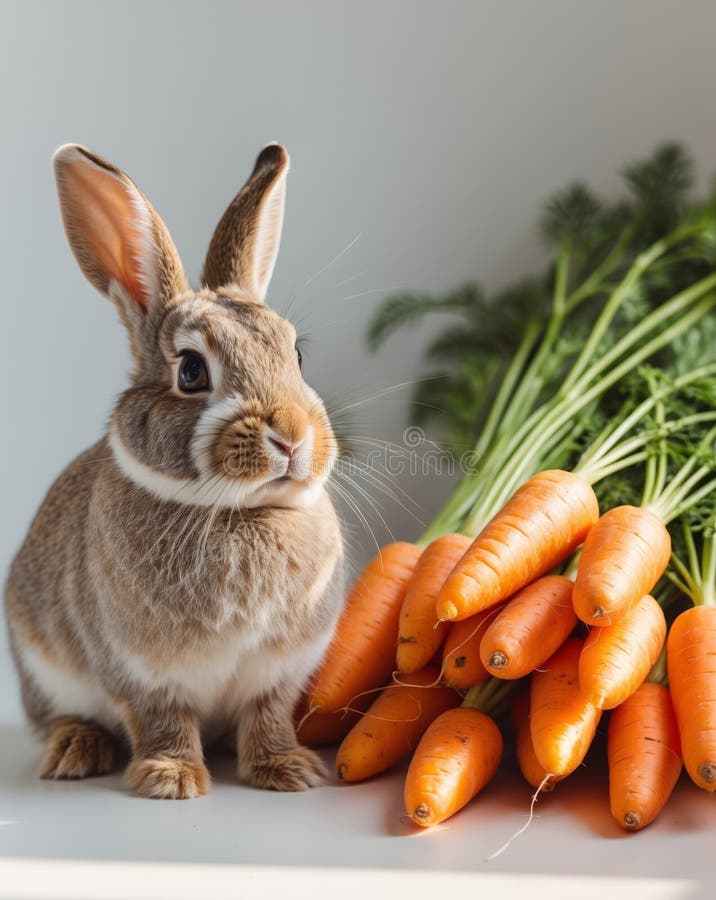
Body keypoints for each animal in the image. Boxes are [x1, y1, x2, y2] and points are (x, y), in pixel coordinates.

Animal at [3, 142, 344, 798]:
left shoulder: (280, 671)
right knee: (59, 717)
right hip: (40, 668)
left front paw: (289, 772)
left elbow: (268, 717)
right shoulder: (139, 672)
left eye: (295, 353)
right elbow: (160, 719)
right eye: (190, 371)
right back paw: (76, 750)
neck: (239, 510)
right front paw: (171, 779)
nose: (291, 436)